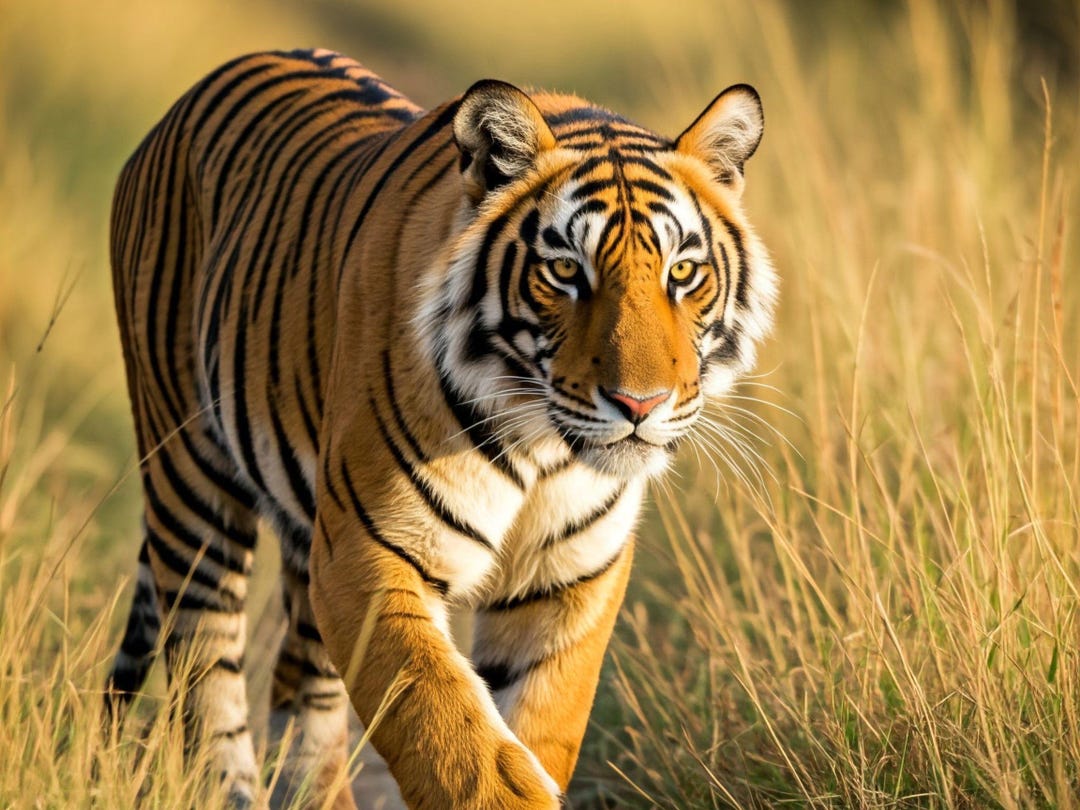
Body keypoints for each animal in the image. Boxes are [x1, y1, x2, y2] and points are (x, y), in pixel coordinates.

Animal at [105, 48, 775, 809]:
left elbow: (540, 727)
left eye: (683, 271)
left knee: (301, 688)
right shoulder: (369, 558)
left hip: (306, 535)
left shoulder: (568, 581)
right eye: (565, 271)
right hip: (189, 481)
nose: (641, 403)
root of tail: (190, 97)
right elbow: (451, 734)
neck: (545, 450)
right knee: (205, 674)